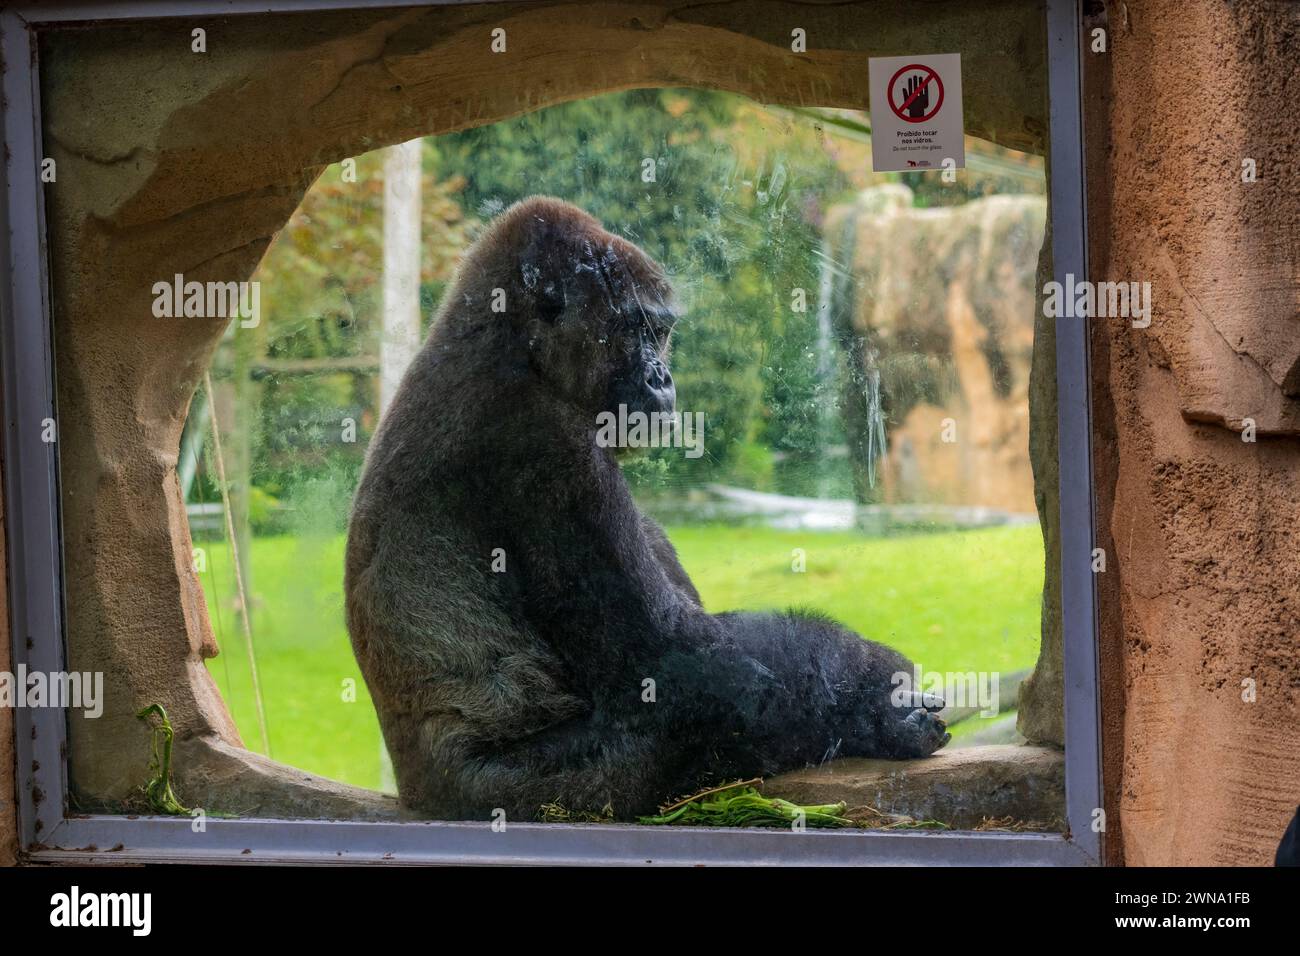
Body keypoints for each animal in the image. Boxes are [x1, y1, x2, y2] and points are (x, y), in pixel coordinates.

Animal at [344, 196, 949, 821]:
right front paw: (875, 686)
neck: (510, 346)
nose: (662, 377)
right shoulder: (548, 443)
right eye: (635, 328)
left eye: (659, 333)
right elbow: (676, 662)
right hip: (526, 798)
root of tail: (417, 795)